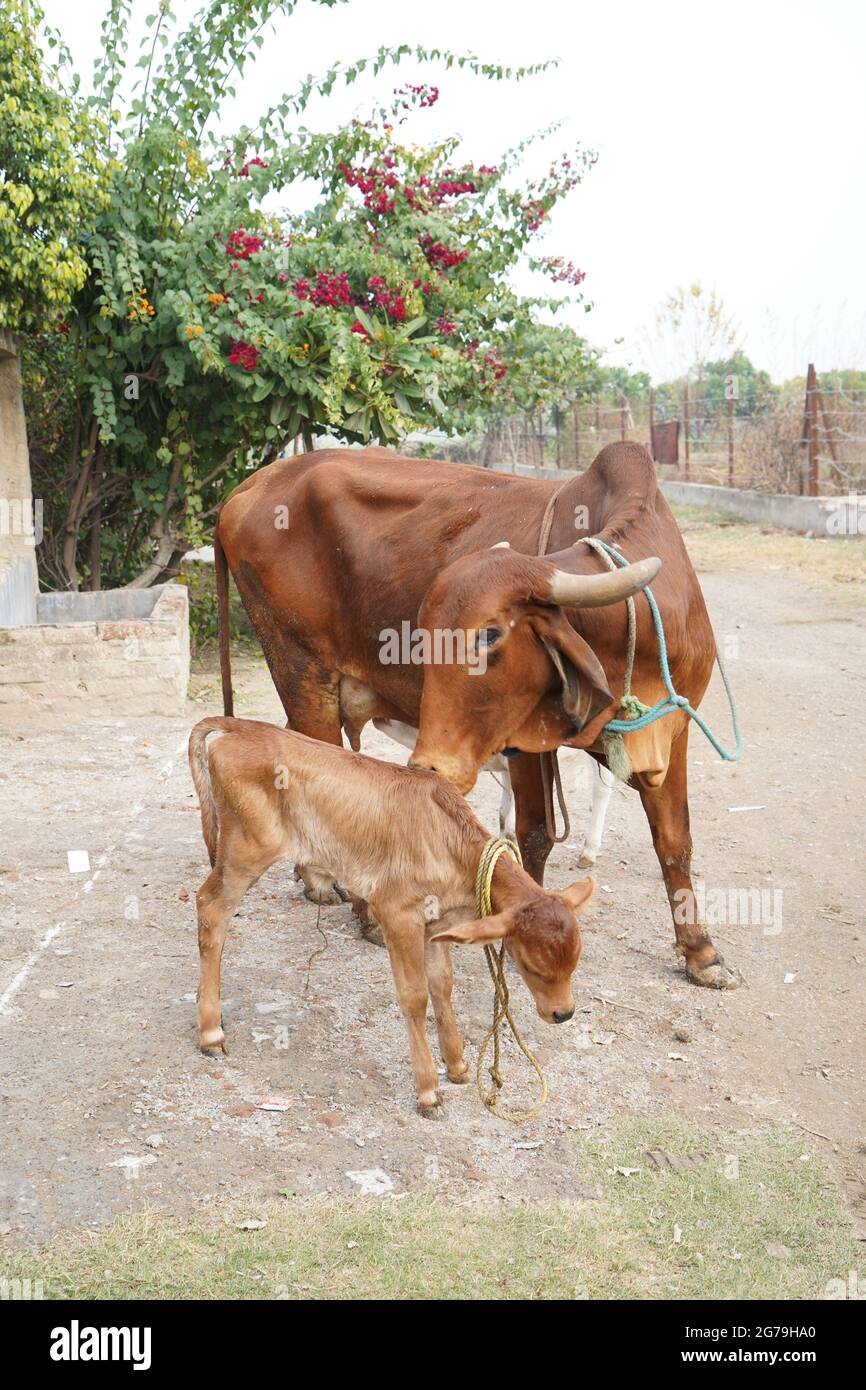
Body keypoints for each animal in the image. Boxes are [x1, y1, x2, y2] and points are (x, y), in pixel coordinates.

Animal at [187, 722, 594, 1112]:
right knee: (210, 906)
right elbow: (415, 997)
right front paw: (428, 1091)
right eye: (530, 965)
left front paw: (457, 1064)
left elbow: (442, 985)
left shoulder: (437, 925)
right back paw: (211, 1032)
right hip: (247, 848)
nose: (564, 1013)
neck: (449, 845)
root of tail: (235, 726)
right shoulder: (396, 913)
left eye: (574, 961)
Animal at [214, 442, 733, 989]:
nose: (429, 767)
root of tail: (247, 488)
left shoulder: (673, 733)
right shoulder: (527, 746)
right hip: (303, 673)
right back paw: (355, 905)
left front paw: (701, 952)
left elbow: (675, 840)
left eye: (488, 635)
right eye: (421, 635)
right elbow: (534, 836)